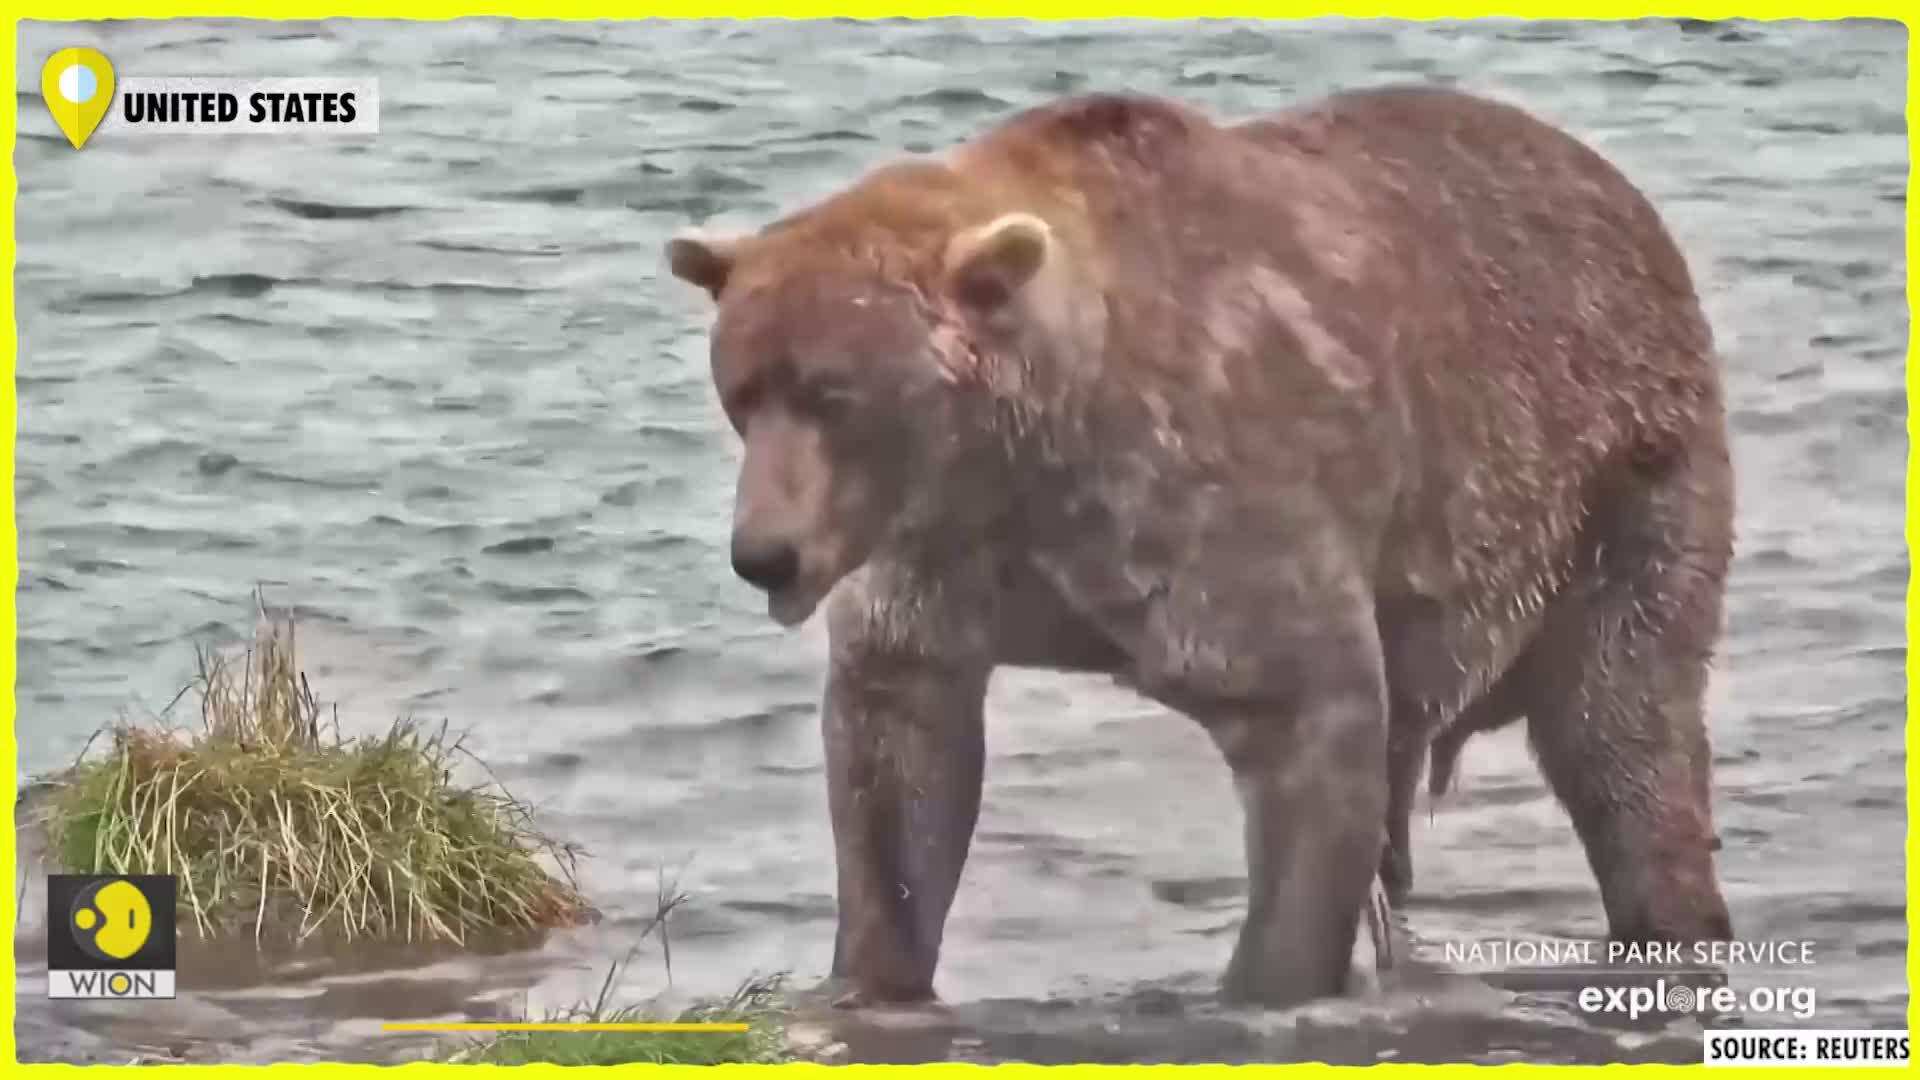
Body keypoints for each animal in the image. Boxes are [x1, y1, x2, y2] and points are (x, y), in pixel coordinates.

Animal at [665, 85, 1736, 1010]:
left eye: (834, 396)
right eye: (740, 393)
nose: (763, 553)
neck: (1027, 451)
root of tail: (1616, 187)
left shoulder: (1212, 503)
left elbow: (1305, 722)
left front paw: (1263, 985)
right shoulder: (938, 562)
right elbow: (896, 762)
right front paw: (870, 977)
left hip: (1619, 474)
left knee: (1625, 736)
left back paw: (1671, 918)